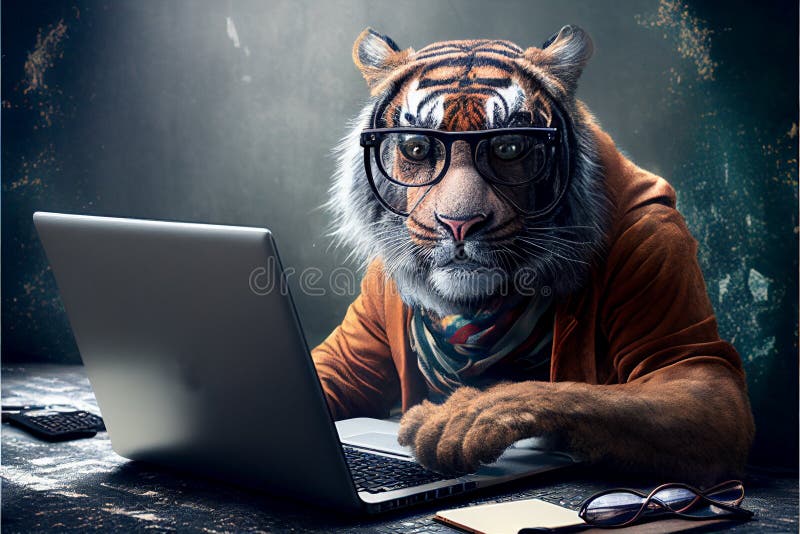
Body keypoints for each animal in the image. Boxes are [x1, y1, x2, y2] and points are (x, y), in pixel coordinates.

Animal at [312, 25, 754, 485]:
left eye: (508, 147)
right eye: (417, 148)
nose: (459, 224)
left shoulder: (658, 261)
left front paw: (471, 413)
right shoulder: (351, 346)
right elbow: (332, 371)